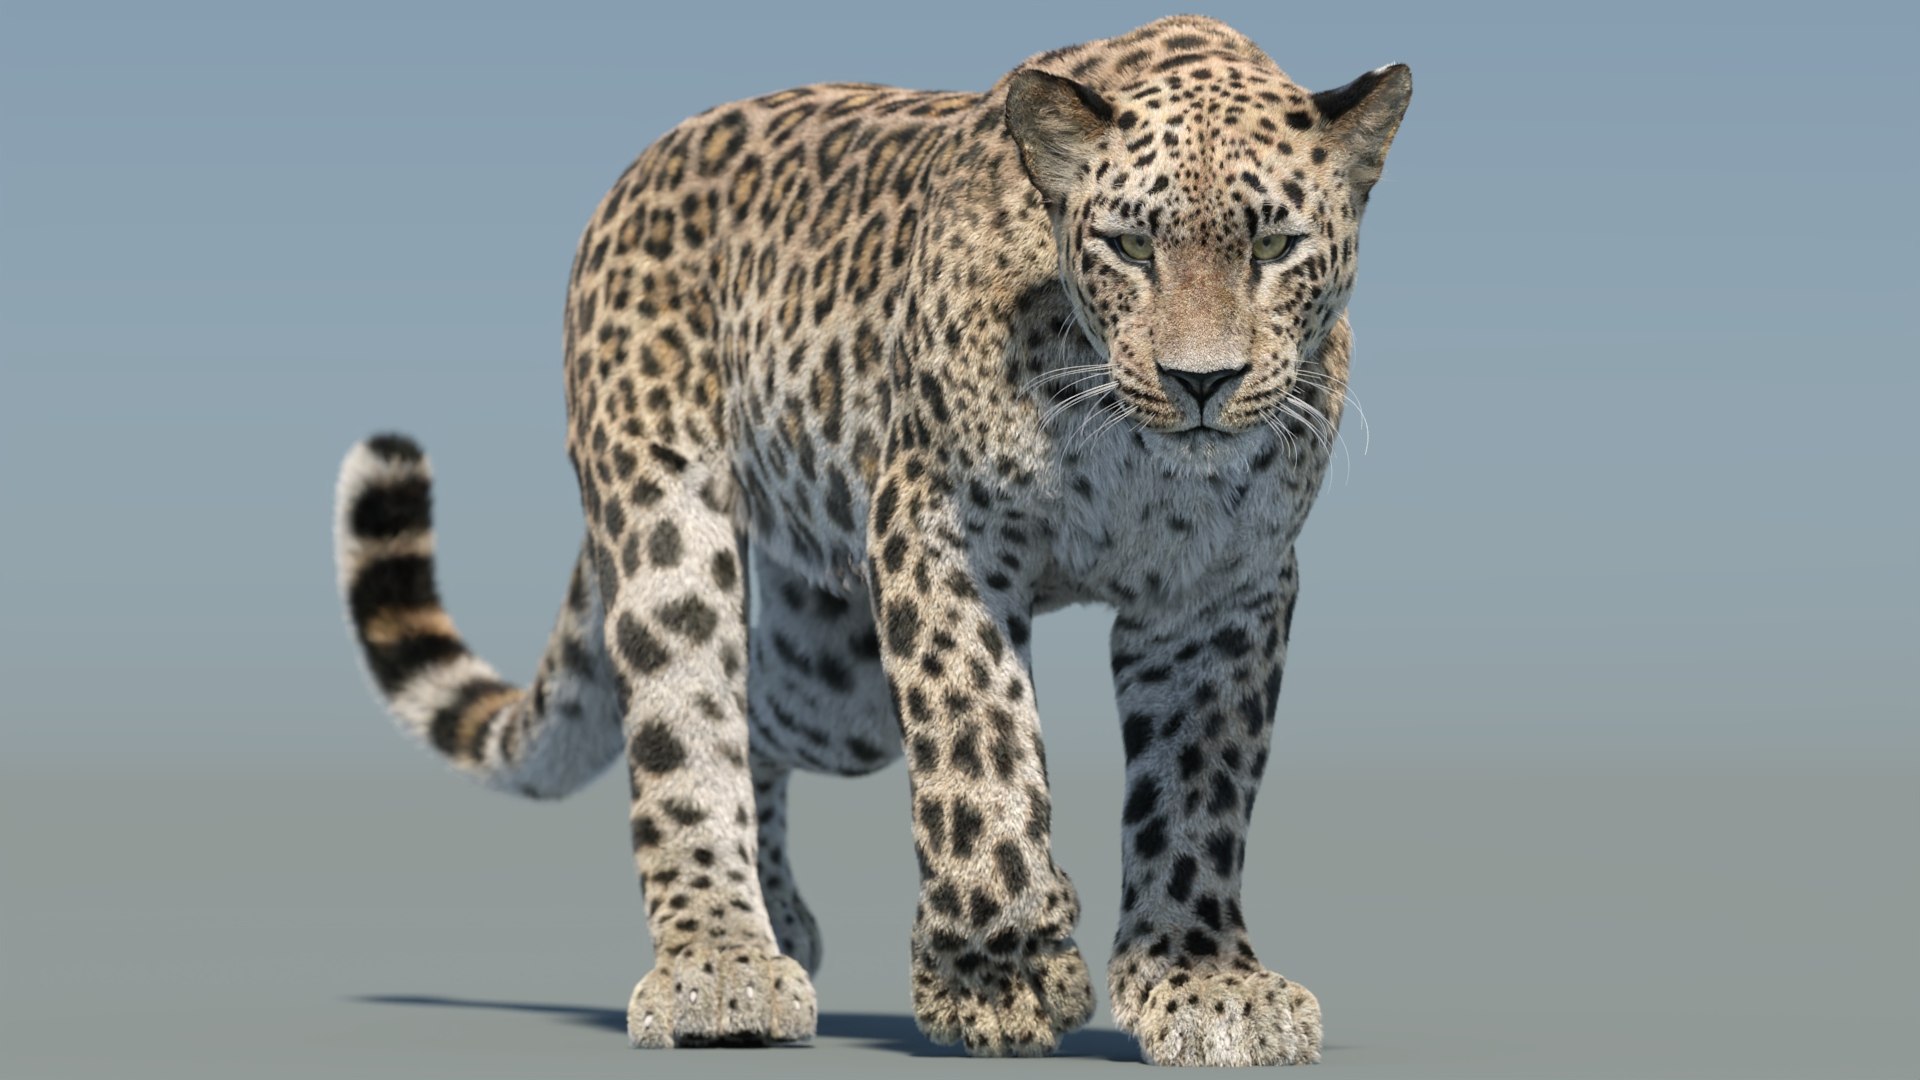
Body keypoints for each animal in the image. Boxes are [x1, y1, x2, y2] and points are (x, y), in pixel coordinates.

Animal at [331, 14, 1409, 1067]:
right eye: (1129, 247)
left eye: (1275, 246)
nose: (1201, 382)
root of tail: (641, 166)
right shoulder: (940, 530)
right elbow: (980, 747)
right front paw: (1002, 980)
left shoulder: (1219, 591)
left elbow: (1197, 792)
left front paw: (1201, 979)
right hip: (668, 522)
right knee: (690, 728)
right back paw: (722, 963)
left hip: (833, 676)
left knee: (760, 716)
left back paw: (779, 919)